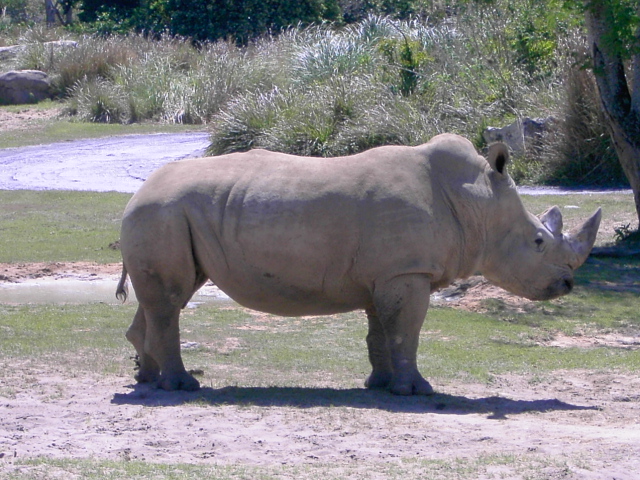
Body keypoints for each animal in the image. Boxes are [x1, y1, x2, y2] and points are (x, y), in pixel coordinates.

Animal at [116, 133, 601, 395]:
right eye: (538, 242)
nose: (567, 284)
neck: (476, 202)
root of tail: (136, 193)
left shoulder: (385, 274)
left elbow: (381, 334)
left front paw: (382, 386)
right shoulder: (407, 271)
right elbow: (407, 332)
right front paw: (417, 390)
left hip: (171, 214)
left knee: (169, 297)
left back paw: (147, 381)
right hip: (162, 212)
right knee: (171, 299)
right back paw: (181, 386)